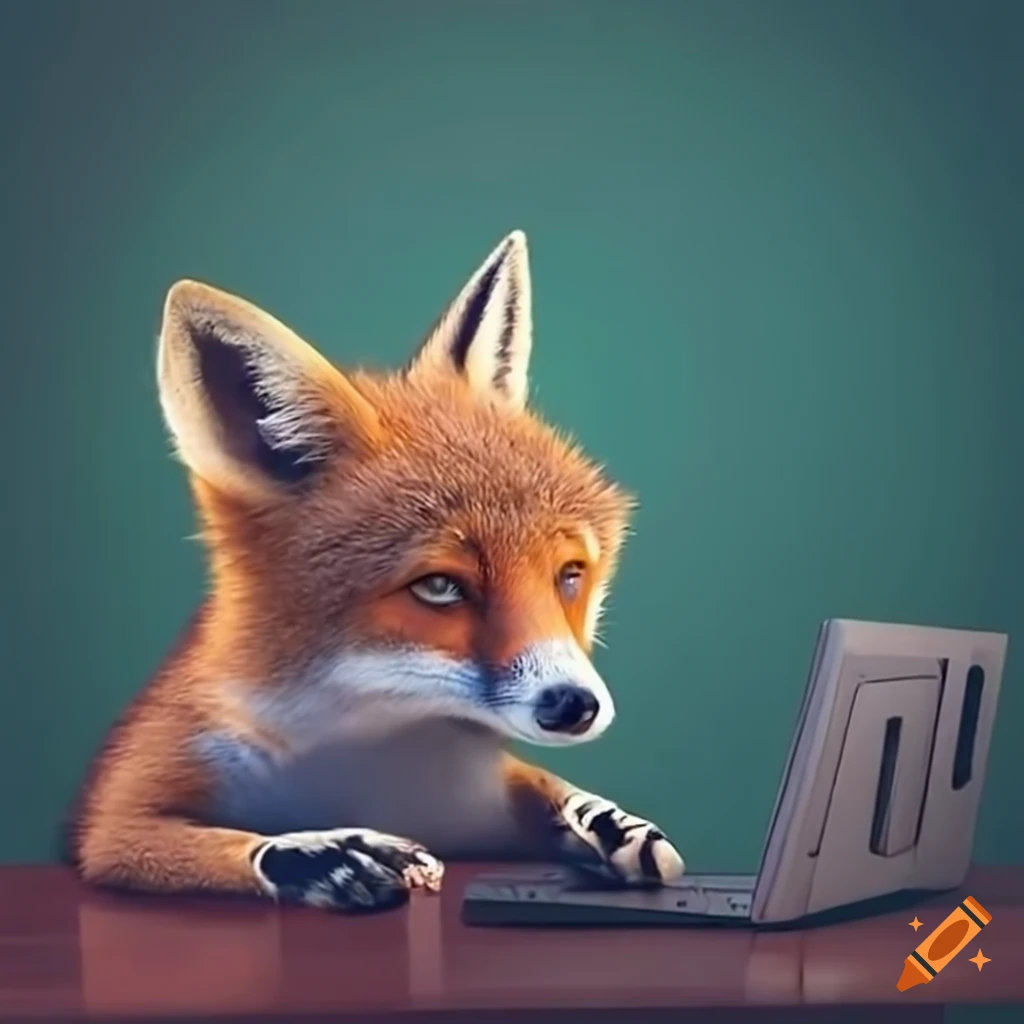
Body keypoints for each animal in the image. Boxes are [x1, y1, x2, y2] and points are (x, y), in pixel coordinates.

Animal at [66, 230, 685, 912]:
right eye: (439, 587)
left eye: (569, 574)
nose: (576, 706)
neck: (376, 750)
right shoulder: (118, 814)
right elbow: (211, 845)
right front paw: (321, 854)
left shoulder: (477, 795)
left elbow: (546, 786)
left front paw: (605, 822)